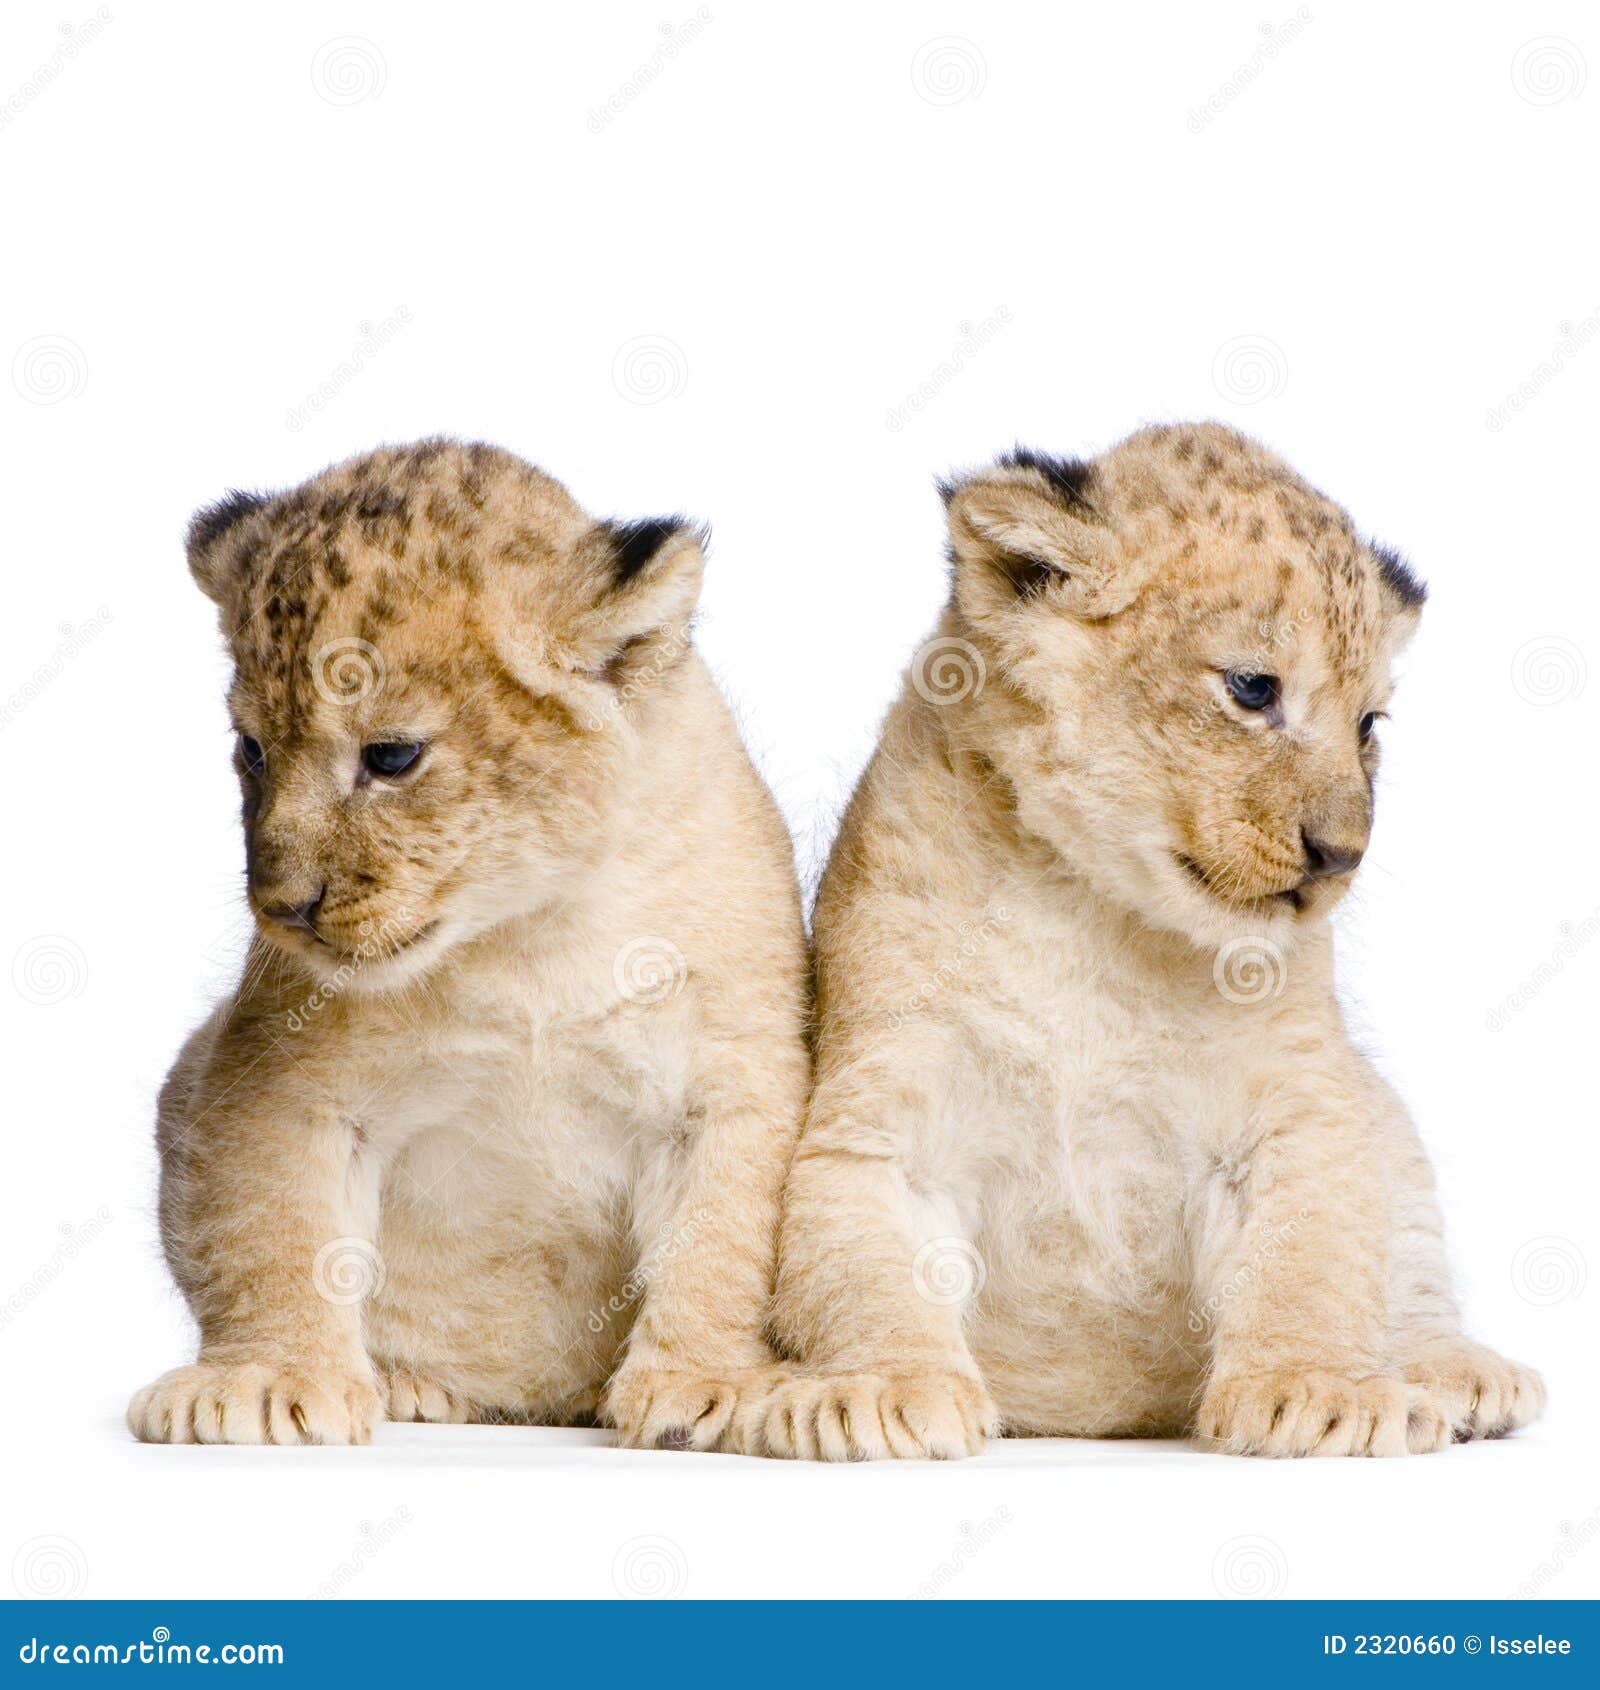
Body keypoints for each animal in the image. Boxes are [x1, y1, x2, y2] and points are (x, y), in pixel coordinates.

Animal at [128, 439, 808, 1447]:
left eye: (392, 756)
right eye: (251, 749)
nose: (285, 907)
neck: (527, 936)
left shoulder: (732, 1078)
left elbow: (722, 1241)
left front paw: (708, 1384)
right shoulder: (273, 1079)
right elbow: (273, 1232)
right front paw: (269, 1377)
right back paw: (412, 1385)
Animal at [761, 423, 1544, 1459]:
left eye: (1369, 725)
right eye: (1252, 689)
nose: (1341, 854)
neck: (1093, 911)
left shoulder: (1299, 1103)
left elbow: (1312, 1255)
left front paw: (1317, 1389)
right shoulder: (880, 1108)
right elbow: (864, 1264)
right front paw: (882, 1390)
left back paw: (1459, 1373)